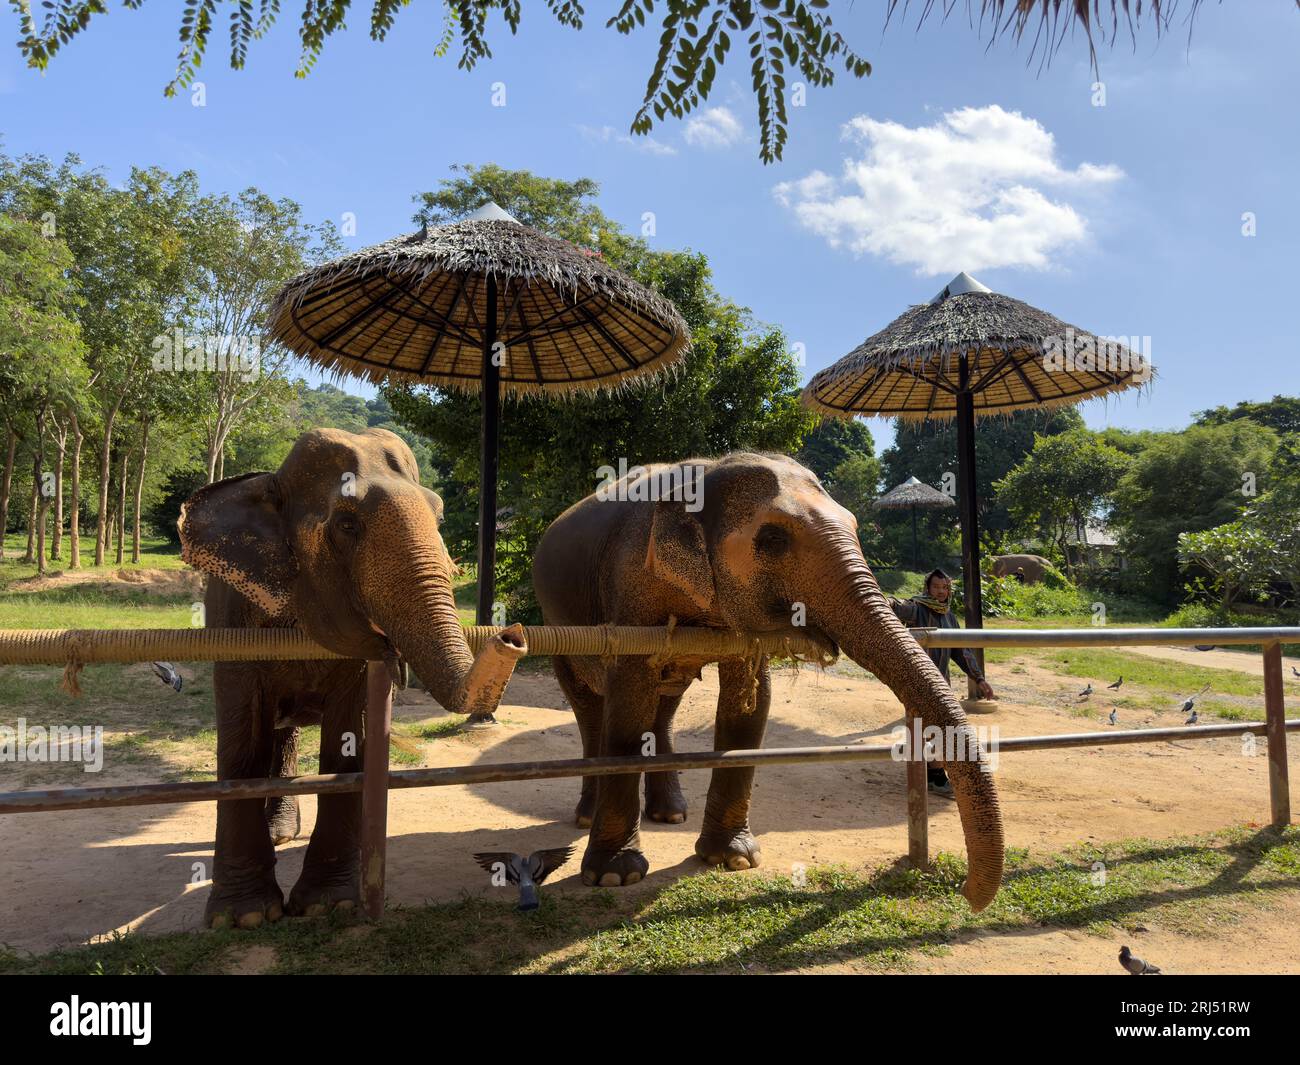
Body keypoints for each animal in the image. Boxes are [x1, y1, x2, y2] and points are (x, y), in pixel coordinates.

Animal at [178, 427, 527, 929]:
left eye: (440, 517)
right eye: (346, 525)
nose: (512, 635)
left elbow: (348, 740)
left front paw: (327, 906)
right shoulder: (233, 620)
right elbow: (242, 747)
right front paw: (243, 918)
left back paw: (284, 830)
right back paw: (279, 836)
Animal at [532, 452, 1004, 909]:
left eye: (854, 526)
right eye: (773, 539)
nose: (964, 892)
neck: (703, 473)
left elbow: (748, 708)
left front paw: (735, 858)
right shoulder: (629, 588)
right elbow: (628, 706)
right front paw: (616, 876)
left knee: (664, 704)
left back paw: (671, 814)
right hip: (555, 621)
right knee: (592, 709)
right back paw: (588, 816)